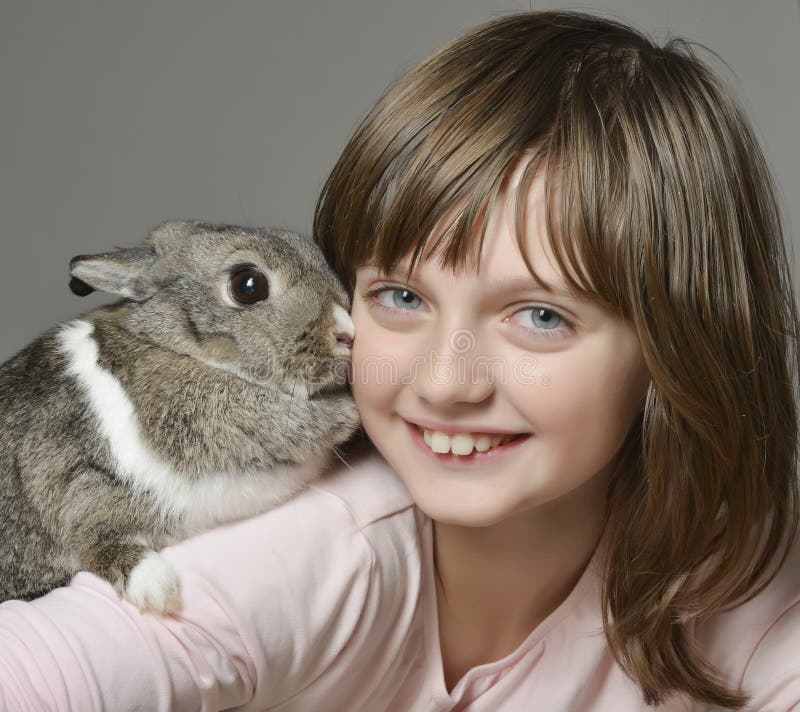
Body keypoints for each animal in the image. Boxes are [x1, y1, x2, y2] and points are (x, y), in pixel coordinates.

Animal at [0, 220, 360, 613]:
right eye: (248, 285)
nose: (347, 333)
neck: (183, 352)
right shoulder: (77, 478)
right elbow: (93, 535)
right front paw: (157, 588)